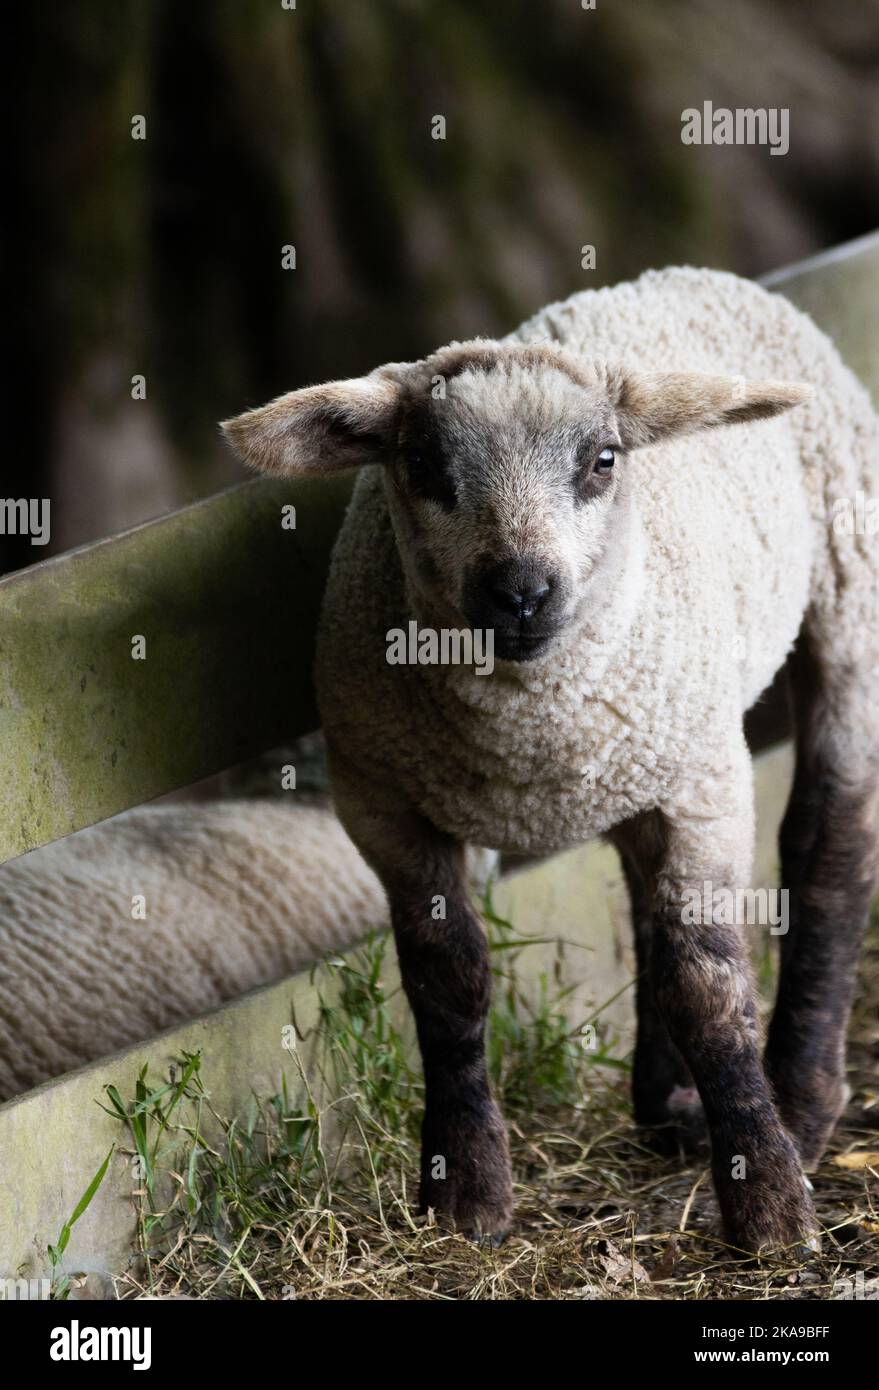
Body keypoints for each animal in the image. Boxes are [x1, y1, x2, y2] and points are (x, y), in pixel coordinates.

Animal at [223, 265, 879, 1254]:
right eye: (422, 466)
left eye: (602, 460)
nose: (521, 590)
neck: (522, 728)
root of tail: (696, 274)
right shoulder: (381, 806)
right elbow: (446, 979)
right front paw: (465, 1195)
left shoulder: (704, 785)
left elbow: (708, 987)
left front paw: (766, 1204)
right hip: (630, 768)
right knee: (648, 903)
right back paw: (668, 1102)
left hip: (845, 598)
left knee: (827, 834)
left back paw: (802, 1099)